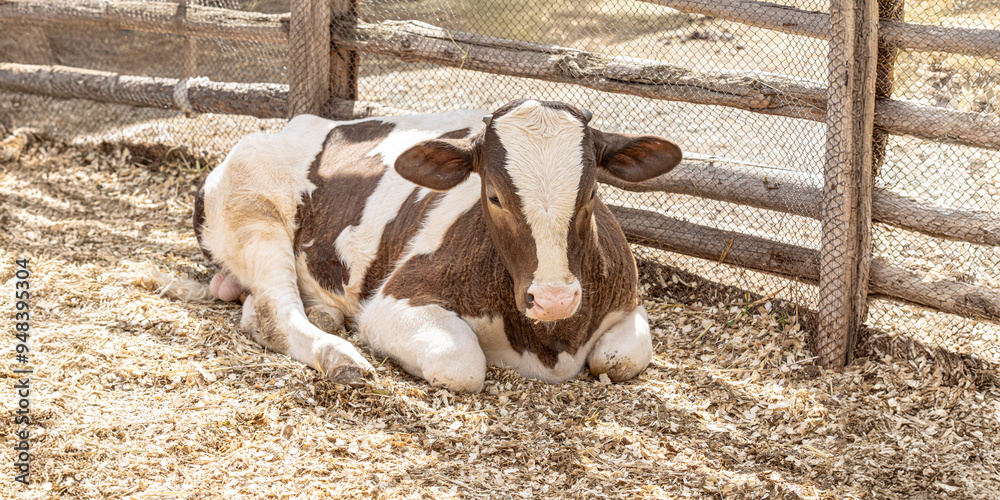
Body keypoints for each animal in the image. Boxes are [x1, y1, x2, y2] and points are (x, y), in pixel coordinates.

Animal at [190, 99, 682, 393]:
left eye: (592, 193)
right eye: (494, 196)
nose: (554, 298)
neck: (550, 343)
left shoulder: (629, 303)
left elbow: (620, 358)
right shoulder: (393, 301)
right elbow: (462, 362)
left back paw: (325, 314)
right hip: (252, 214)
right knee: (274, 315)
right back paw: (341, 356)